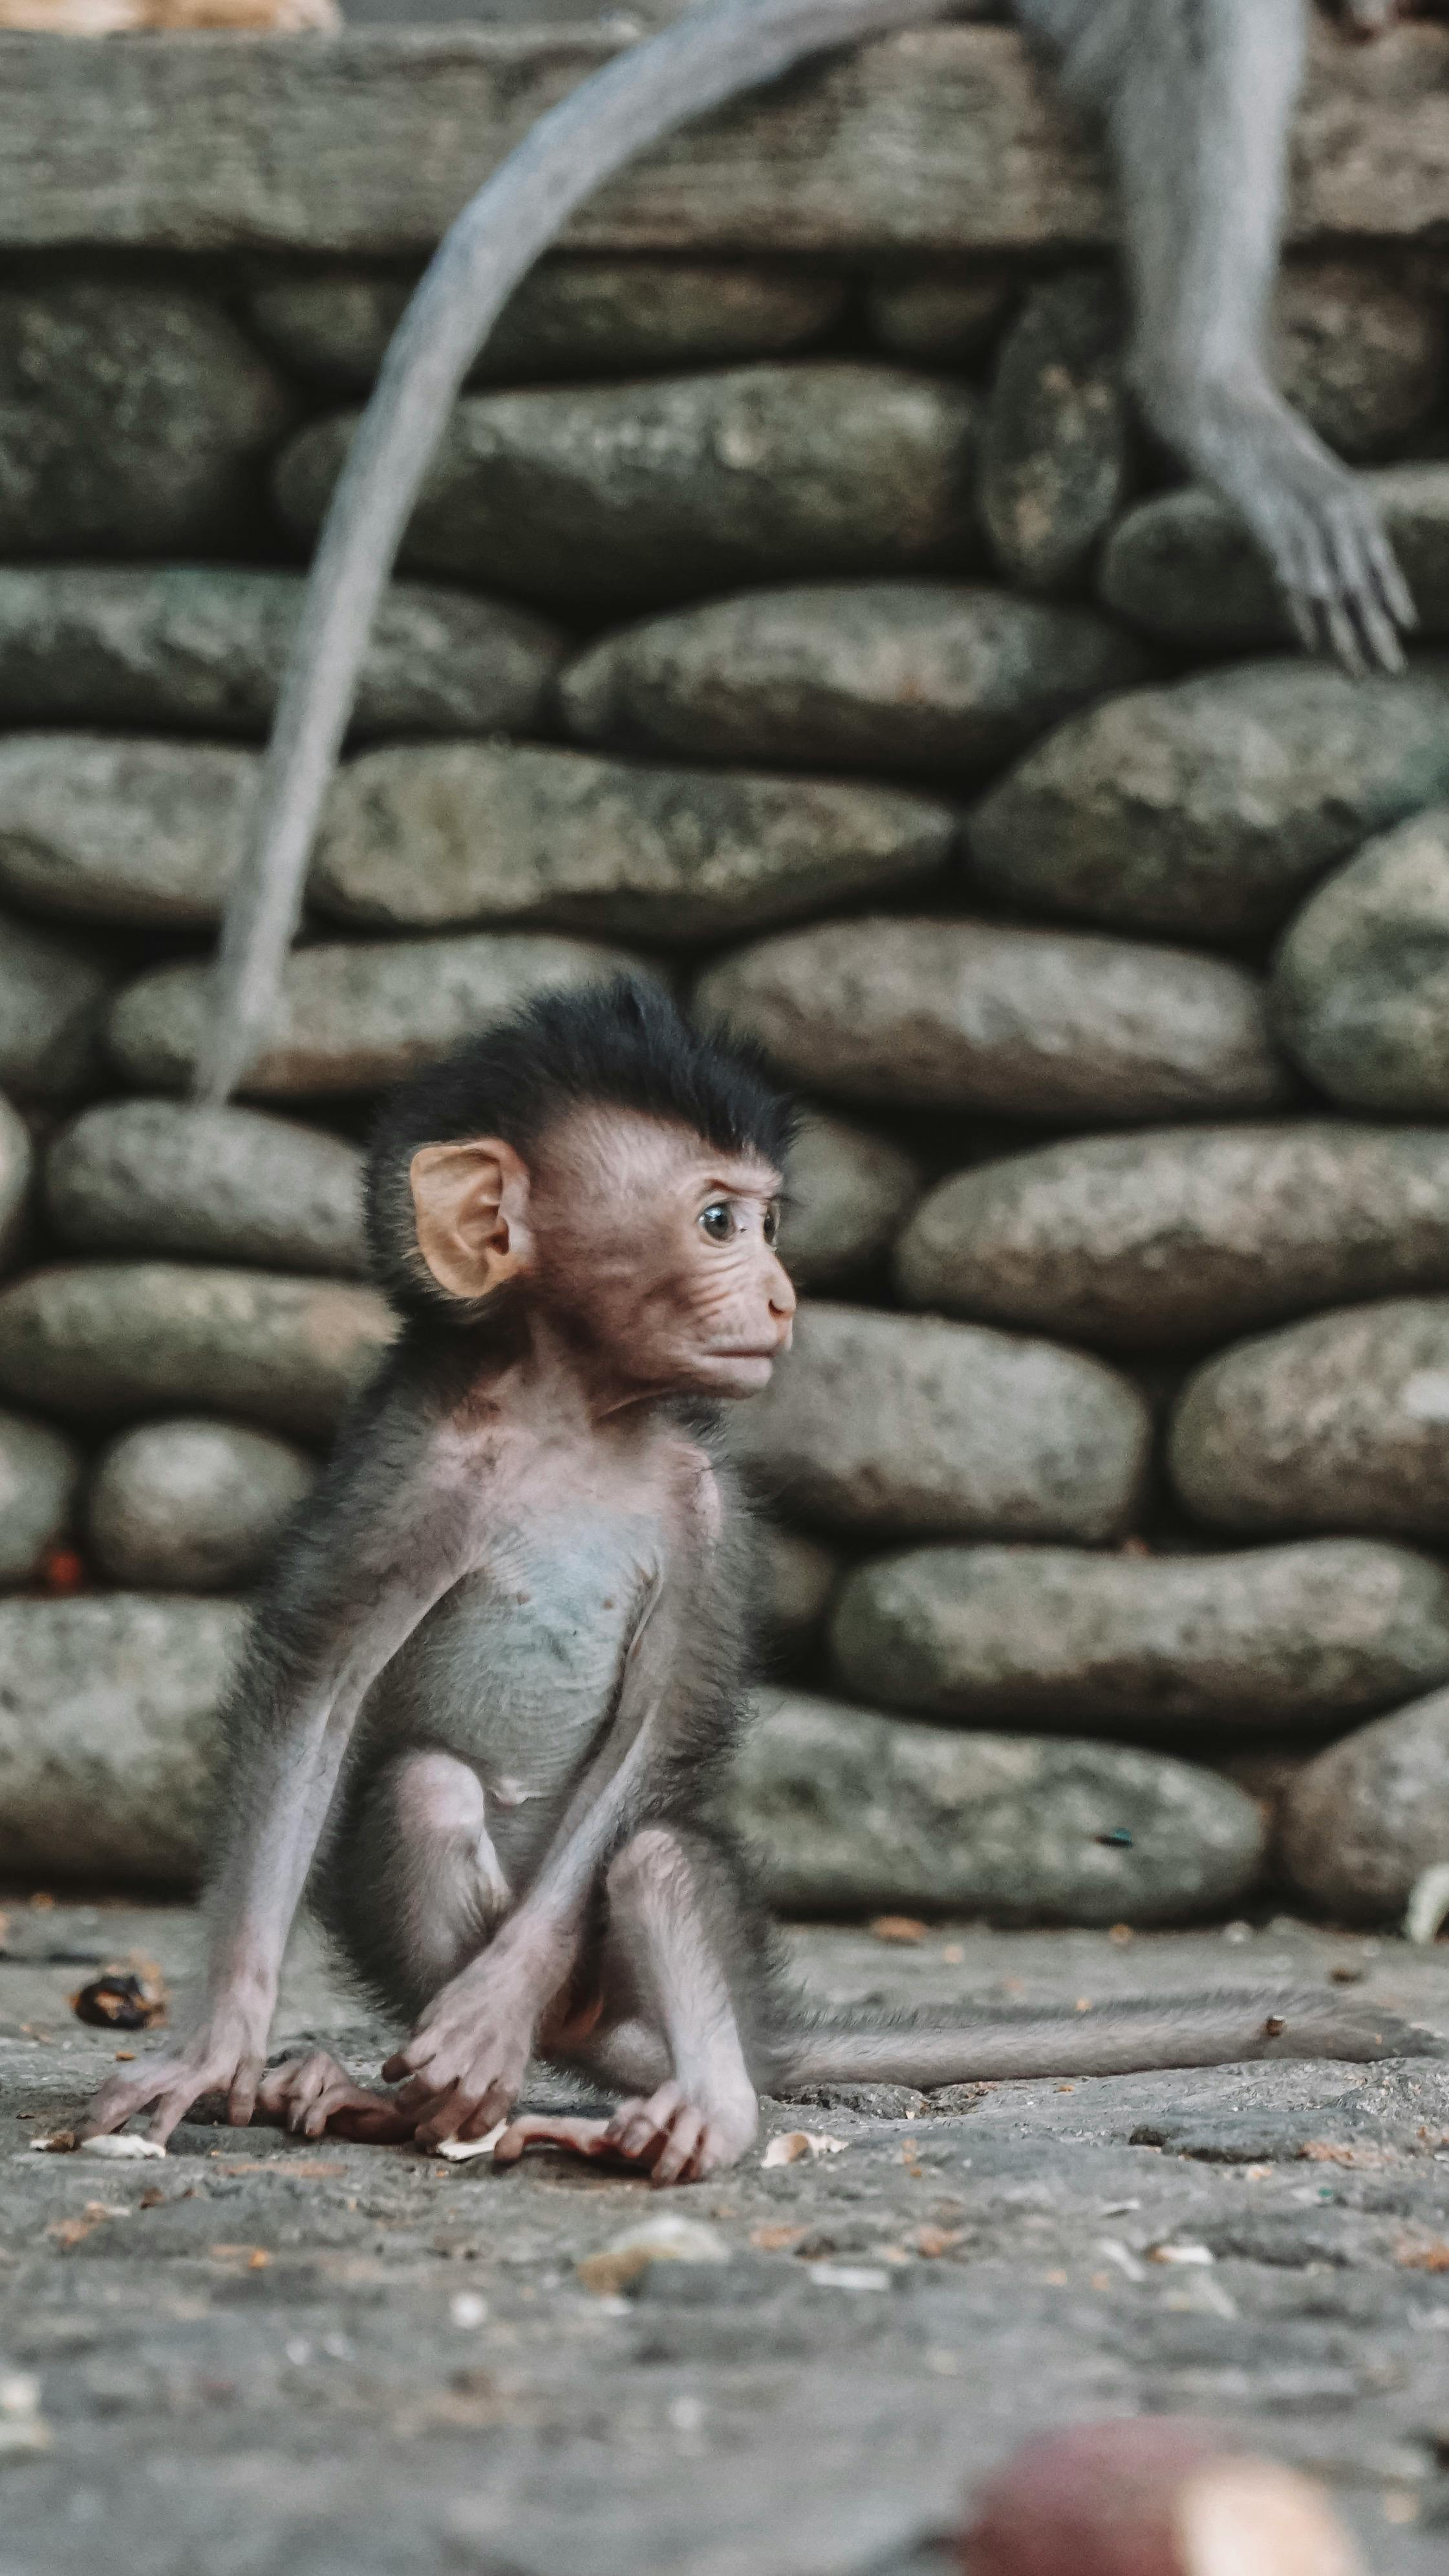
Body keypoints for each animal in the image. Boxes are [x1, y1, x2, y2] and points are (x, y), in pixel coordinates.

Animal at [83, 981, 1439, 2181]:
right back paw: (391, 2094)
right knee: (424, 1789)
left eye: (767, 1222)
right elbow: (316, 1697)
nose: (782, 1294)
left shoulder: (707, 1506)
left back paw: (693, 2106)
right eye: (719, 1224)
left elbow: (666, 1722)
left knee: (655, 1858)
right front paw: (222, 2042)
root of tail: (597, 2036)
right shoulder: (405, 1475)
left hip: (607, 1978)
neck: (574, 1416)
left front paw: (479, 2005)